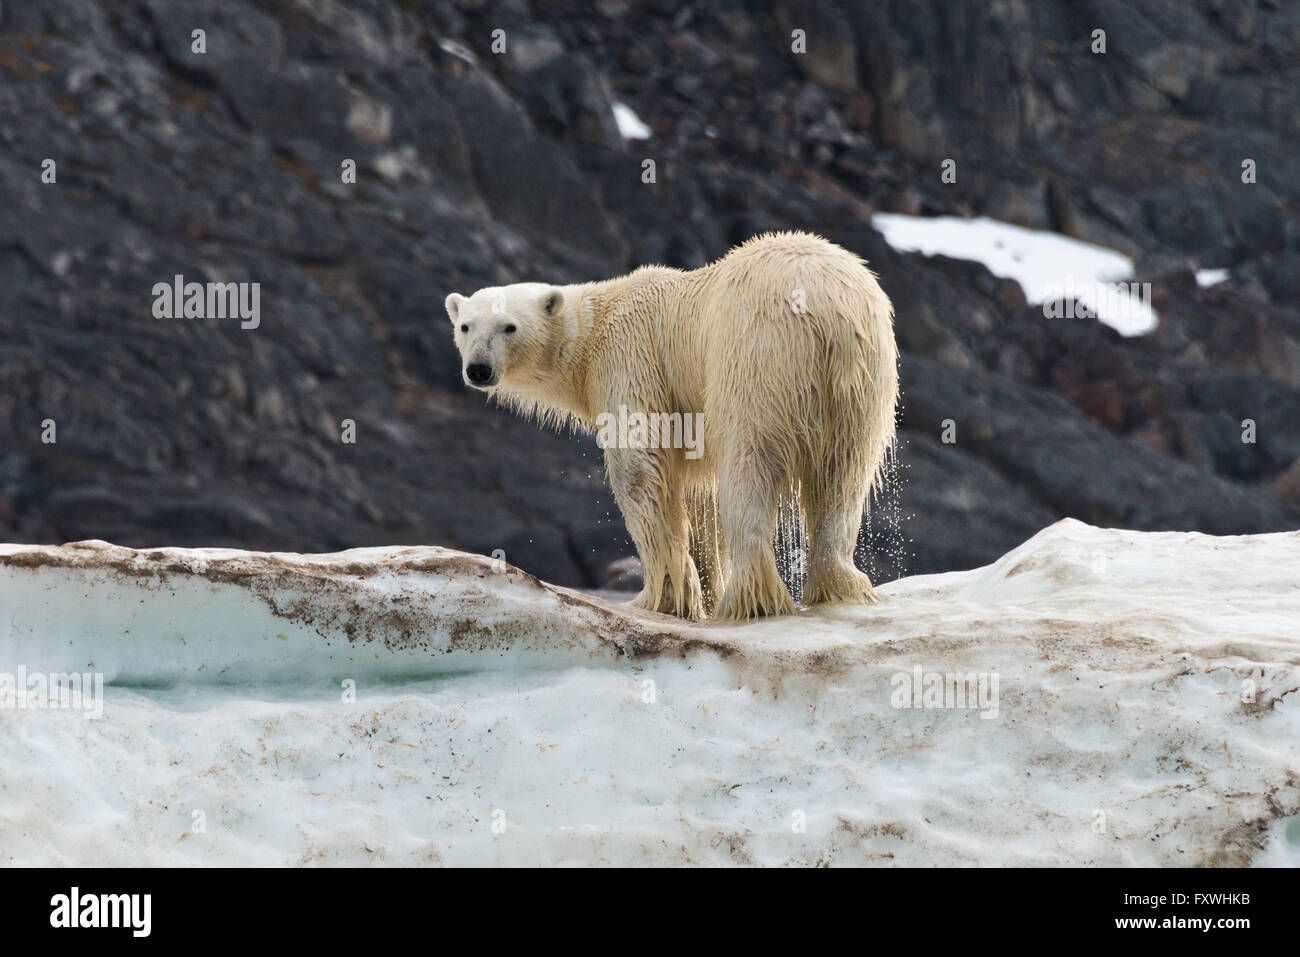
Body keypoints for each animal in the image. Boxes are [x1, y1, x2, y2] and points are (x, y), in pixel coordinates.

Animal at [445, 231, 898, 621]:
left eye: (509, 327)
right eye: (465, 326)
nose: (478, 369)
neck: (595, 330)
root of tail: (829, 305)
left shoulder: (630, 358)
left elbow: (639, 470)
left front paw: (661, 597)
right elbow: (698, 497)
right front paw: (697, 587)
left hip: (758, 357)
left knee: (750, 464)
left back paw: (748, 599)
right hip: (866, 377)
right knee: (844, 474)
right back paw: (836, 584)